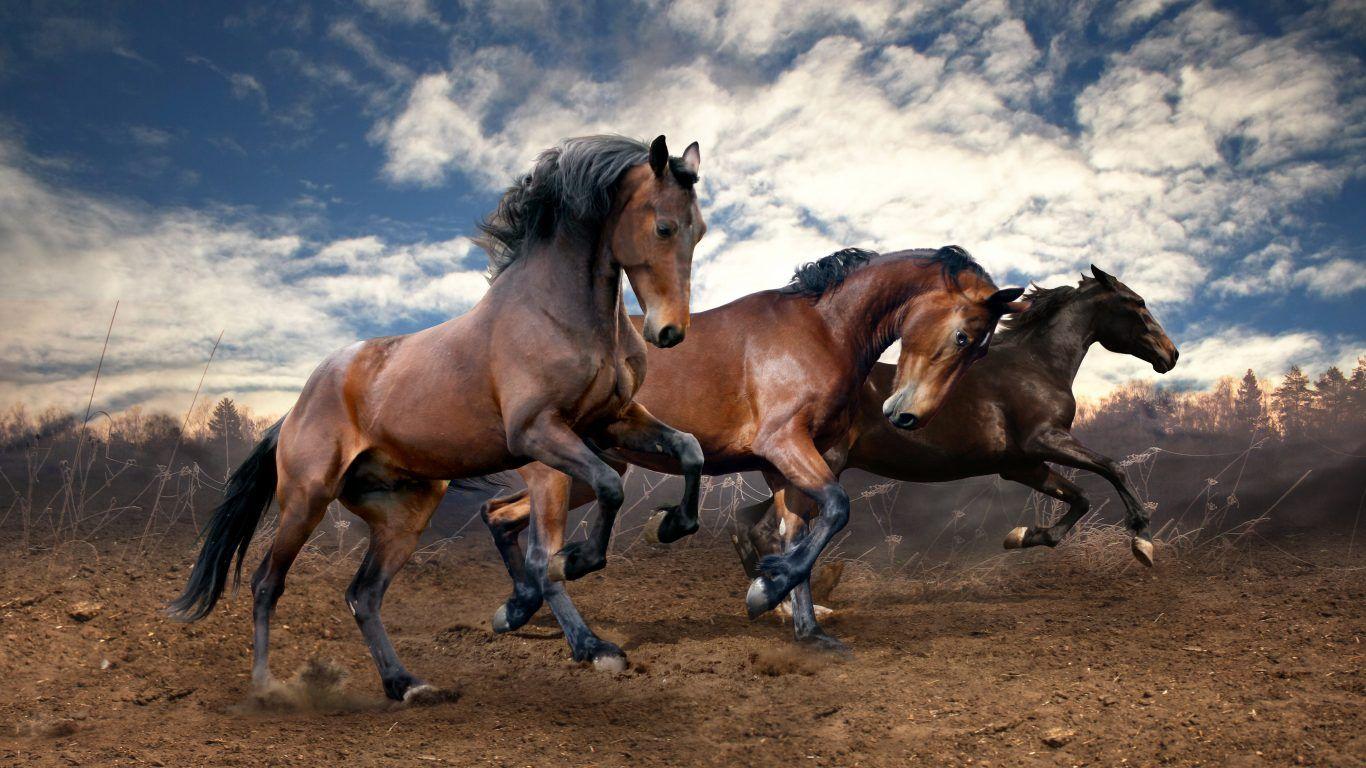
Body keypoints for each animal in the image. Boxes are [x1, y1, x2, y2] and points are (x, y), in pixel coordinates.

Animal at [168, 135, 707, 702]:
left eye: (699, 230)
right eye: (663, 226)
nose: (669, 332)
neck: (559, 313)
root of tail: (292, 411)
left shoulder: (612, 421)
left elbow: (688, 449)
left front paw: (670, 526)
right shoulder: (538, 433)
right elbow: (601, 494)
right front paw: (580, 584)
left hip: (405, 514)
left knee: (362, 594)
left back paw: (404, 683)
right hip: (306, 500)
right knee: (267, 583)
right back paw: (266, 686)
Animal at [481, 246, 1026, 658]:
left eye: (979, 349)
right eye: (963, 336)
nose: (908, 416)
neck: (822, 330)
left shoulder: (785, 466)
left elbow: (798, 533)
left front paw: (807, 628)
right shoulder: (784, 443)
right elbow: (836, 509)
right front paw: (766, 591)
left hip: (590, 470)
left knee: (499, 515)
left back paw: (515, 609)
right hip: (557, 473)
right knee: (541, 554)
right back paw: (589, 645)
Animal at [733, 266, 1179, 628]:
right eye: (1136, 303)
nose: (1171, 355)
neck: (1035, 366)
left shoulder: (1024, 464)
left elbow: (1080, 498)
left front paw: (1021, 536)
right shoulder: (1045, 440)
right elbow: (1111, 467)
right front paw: (1143, 542)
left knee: (748, 524)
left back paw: (773, 602)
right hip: (823, 468)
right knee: (766, 529)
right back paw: (787, 606)